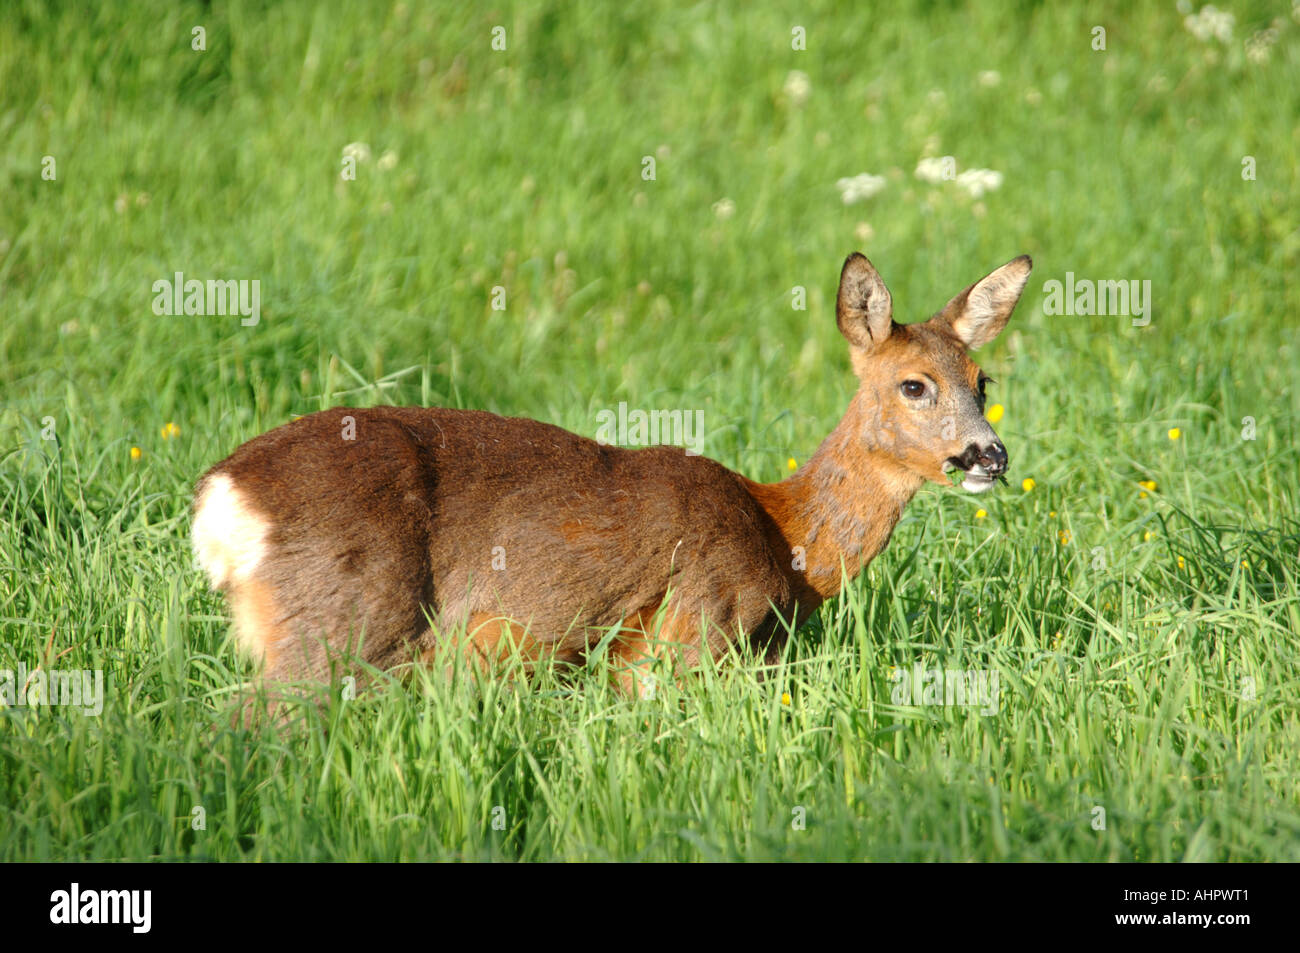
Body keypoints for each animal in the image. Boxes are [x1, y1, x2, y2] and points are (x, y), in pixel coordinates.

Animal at [192, 252, 1032, 700]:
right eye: (914, 384)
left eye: (982, 379)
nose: (989, 454)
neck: (786, 540)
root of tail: (222, 501)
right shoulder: (689, 632)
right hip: (340, 624)